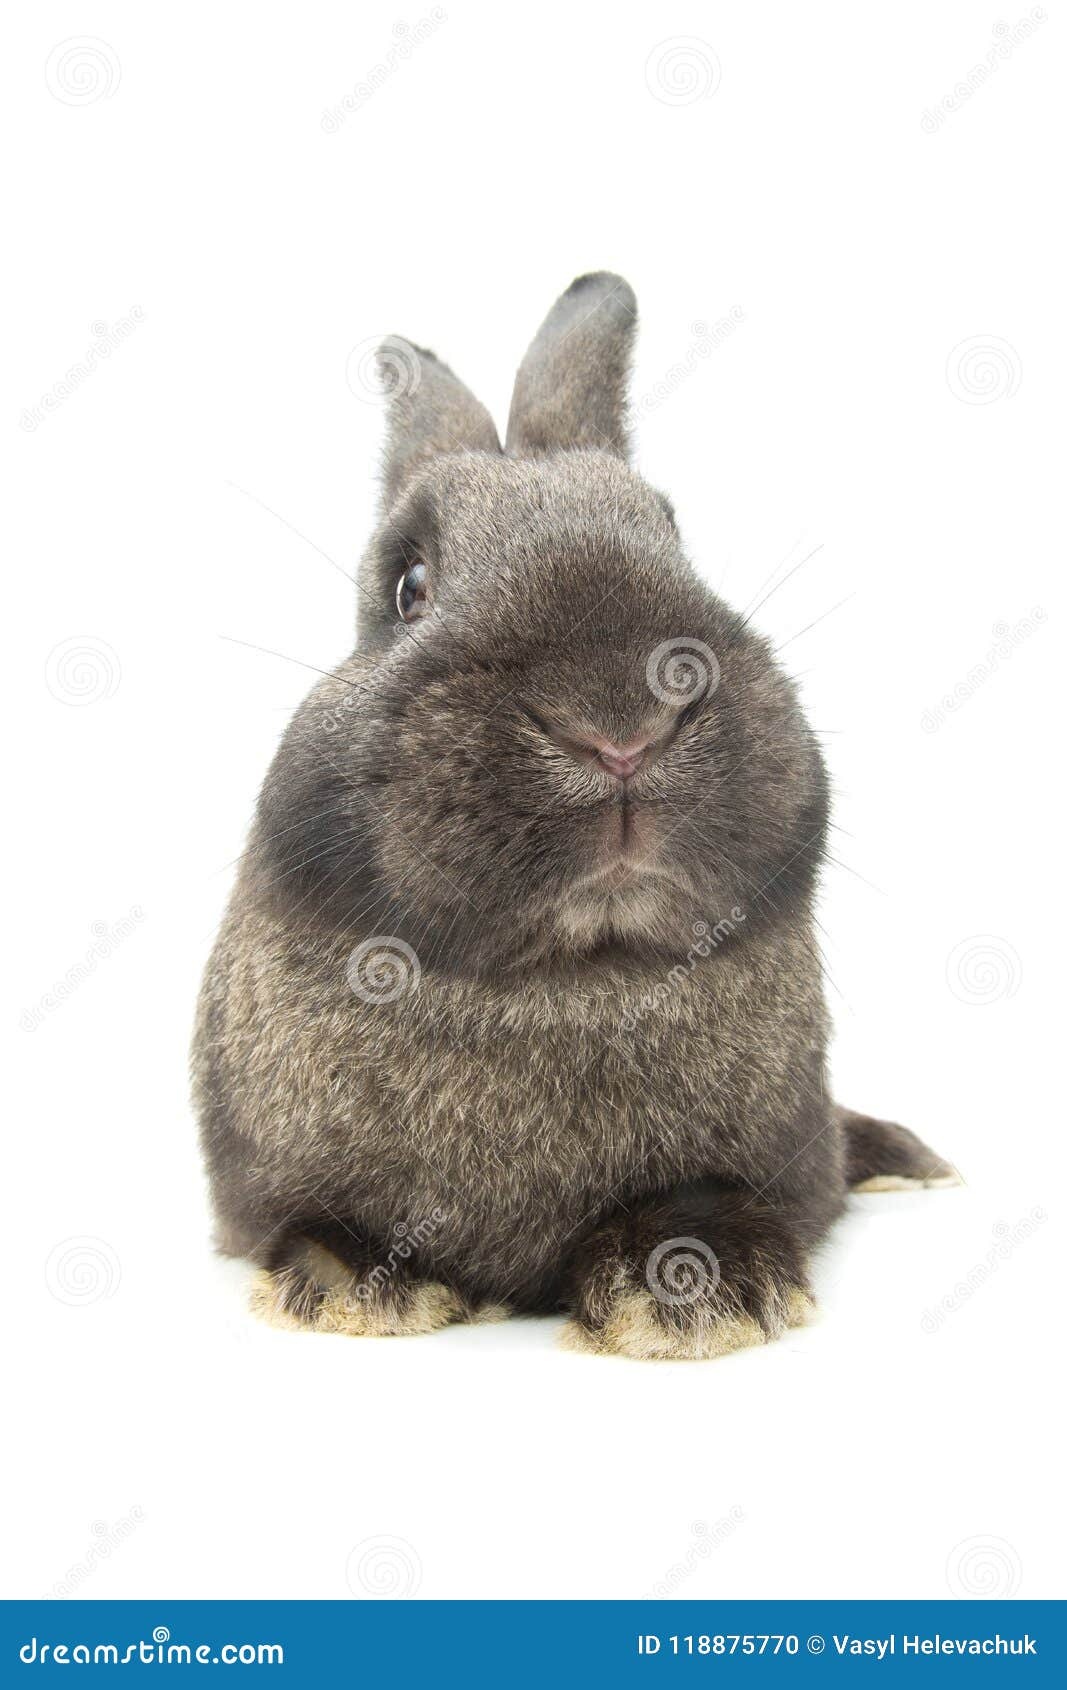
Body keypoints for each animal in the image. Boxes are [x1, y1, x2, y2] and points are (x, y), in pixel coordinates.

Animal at [192, 272, 956, 1359]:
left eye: (671, 533)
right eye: (407, 584)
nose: (620, 724)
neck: (568, 976)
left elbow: (701, 1210)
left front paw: (695, 1296)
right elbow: (324, 1228)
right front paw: (361, 1289)